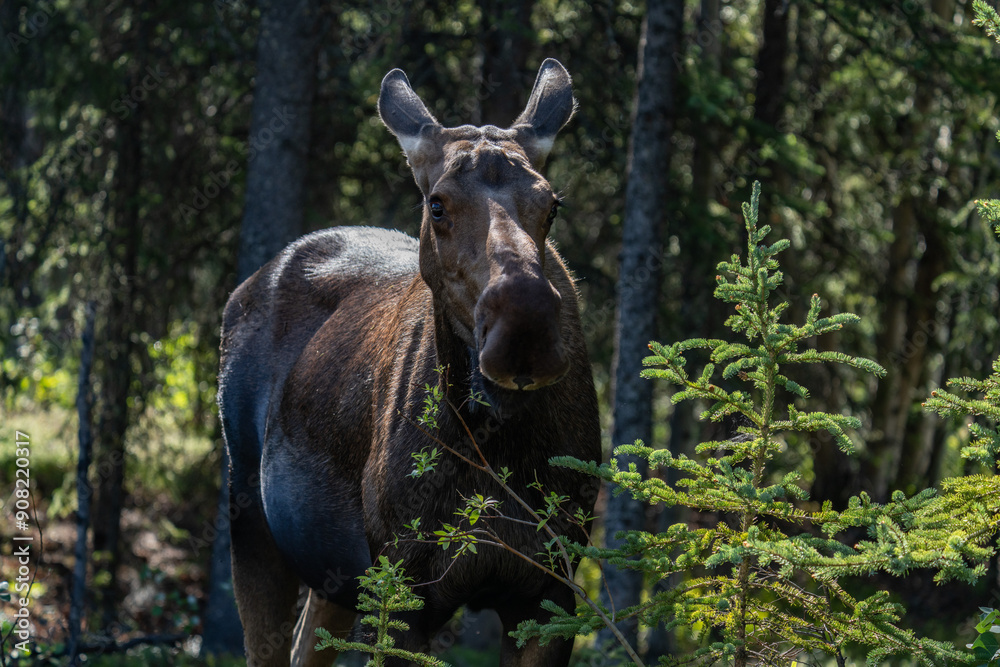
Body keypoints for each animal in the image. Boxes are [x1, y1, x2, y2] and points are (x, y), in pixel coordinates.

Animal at [217, 58, 601, 667]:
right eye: (436, 204)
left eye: (552, 204)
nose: (526, 333)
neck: (494, 444)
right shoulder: (406, 584)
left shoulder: (551, 590)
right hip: (249, 514)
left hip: (335, 575)